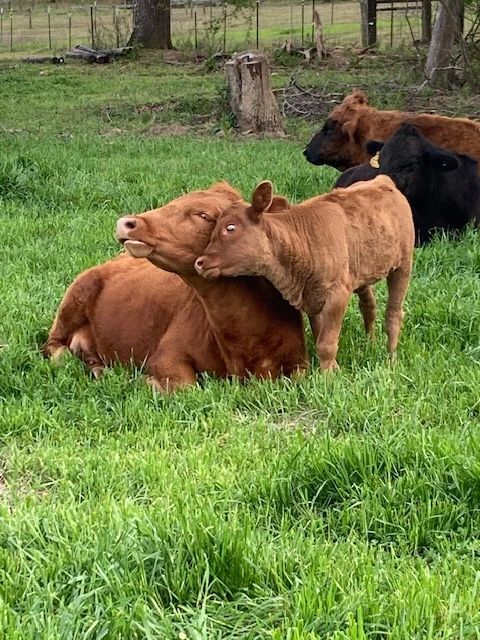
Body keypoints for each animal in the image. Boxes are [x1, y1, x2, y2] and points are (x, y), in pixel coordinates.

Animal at [44, 181, 308, 391]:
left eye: (203, 215)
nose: (127, 223)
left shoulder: (300, 363)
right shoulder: (165, 356)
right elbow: (186, 385)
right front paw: (141, 380)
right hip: (74, 299)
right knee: (55, 348)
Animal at [195, 176, 415, 371]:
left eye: (230, 228)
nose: (200, 263)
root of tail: (382, 180)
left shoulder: (337, 295)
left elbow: (326, 344)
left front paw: (328, 378)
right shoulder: (311, 298)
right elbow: (320, 337)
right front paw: (333, 369)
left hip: (403, 265)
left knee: (394, 313)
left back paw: (391, 358)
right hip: (360, 272)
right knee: (369, 305)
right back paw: (370, 343)